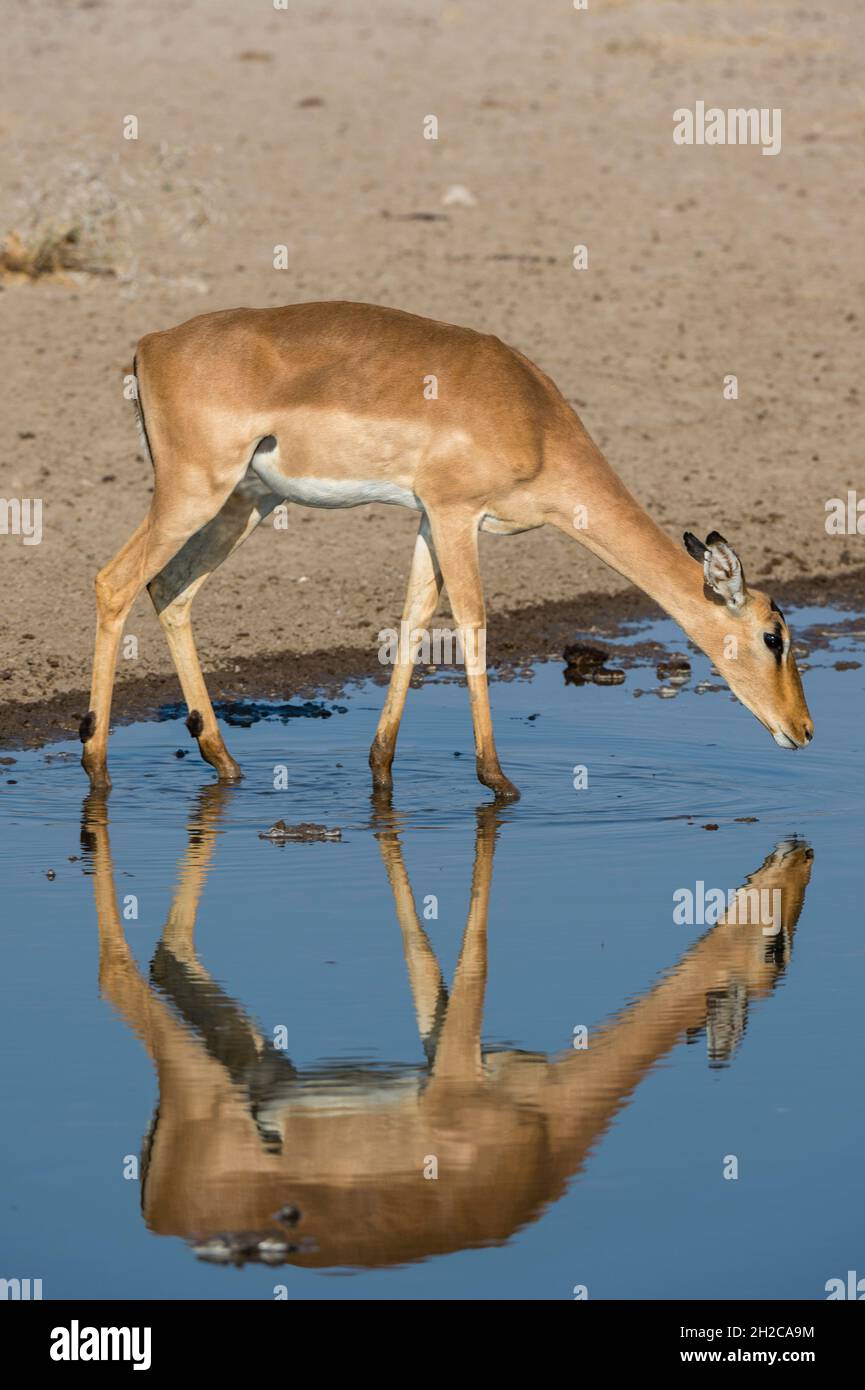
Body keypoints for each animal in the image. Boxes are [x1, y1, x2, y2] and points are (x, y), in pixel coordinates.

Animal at [80, 302, 814, 797]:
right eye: (772, 635)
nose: (803, 730)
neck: (534, 421)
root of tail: (151, 346)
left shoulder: (429, 521)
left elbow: (411, 621)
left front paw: (380, 771)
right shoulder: (457, 515)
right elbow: (472, 623)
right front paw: (499, 782)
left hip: (246, 502)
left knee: (170, 590)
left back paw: (223, 761)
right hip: (192, 493)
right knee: (115, 581)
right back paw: (95, 766)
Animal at [85, 786, 813, 1270]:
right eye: (773, 950)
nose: (801, 854)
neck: (547, 1132)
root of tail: (156, 1209)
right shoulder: (457, 1066)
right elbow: (476, 951)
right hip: (198, 1083)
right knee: (120, 974)